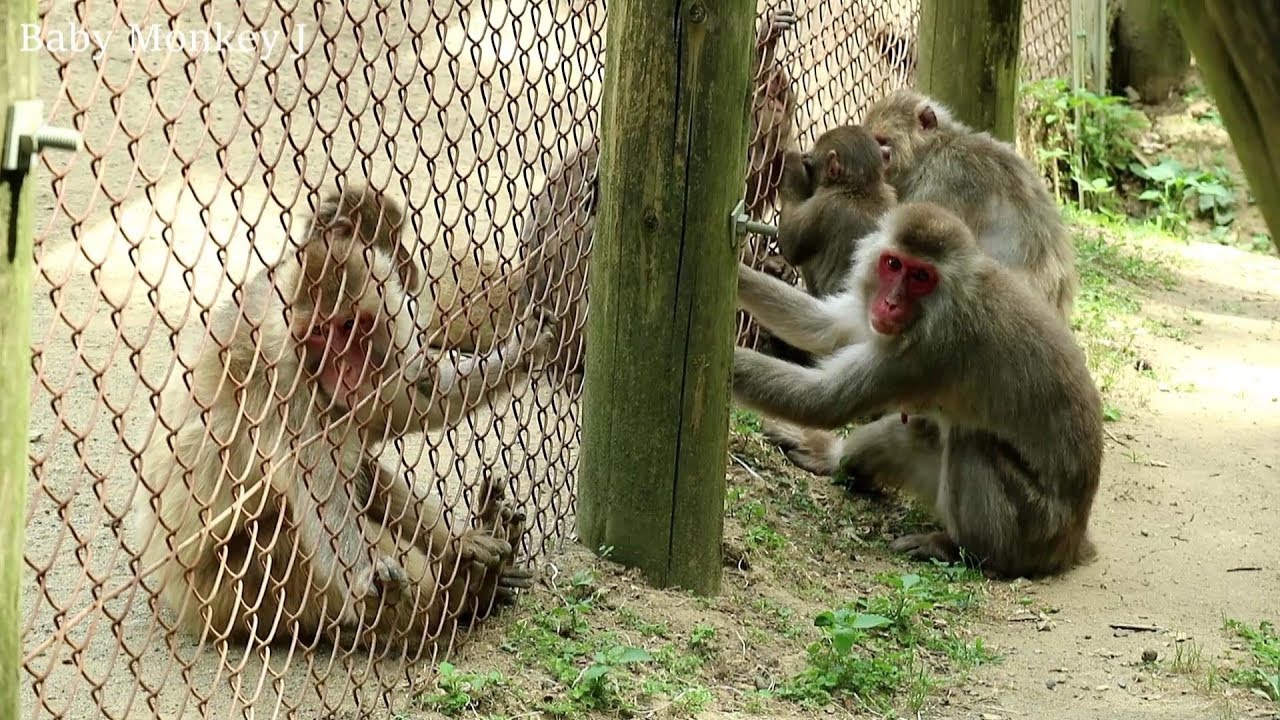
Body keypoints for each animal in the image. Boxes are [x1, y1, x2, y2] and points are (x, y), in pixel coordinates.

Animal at [134, 185, 556, 651]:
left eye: (351, 325)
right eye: (319, 332)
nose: (346, 370)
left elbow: (415, 396)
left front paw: (521, 349)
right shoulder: (287, 392)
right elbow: (324, 506)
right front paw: (373, 576)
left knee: (364, 469)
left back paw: (468, 555)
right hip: (227, 596)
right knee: (288, 533)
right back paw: (457, 597)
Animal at [731, 202, 1102, 578]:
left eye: (921, 277)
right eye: (893, 264)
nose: (890, 304)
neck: (946, 302)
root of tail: (1072, 541)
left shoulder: (930, 352)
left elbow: (826, 401)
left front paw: (724, 356)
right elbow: (826, 326)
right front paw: (738, 273)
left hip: (1032, 527)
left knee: (971, 441)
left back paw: (963, 550)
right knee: (915, 432)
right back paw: (833, 457)